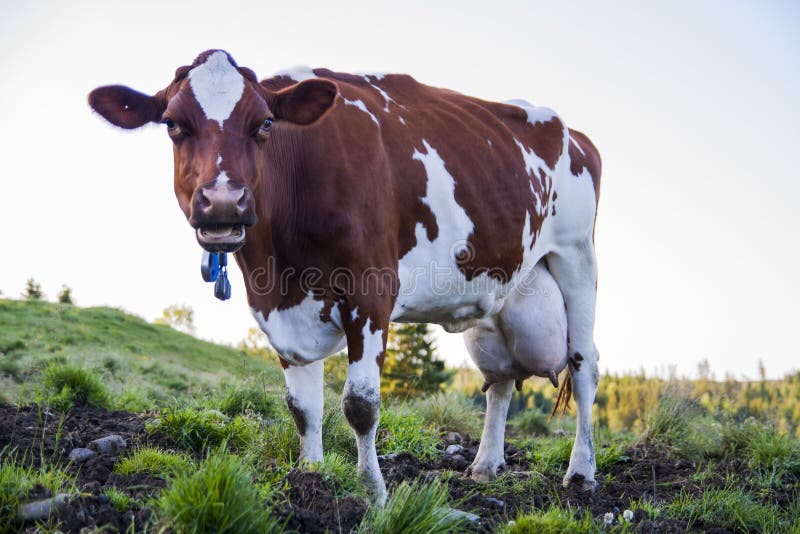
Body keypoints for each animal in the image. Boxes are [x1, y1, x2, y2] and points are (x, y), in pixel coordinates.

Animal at [88, 50, 601, 503]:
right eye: (173, 124)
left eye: (265, 124)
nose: (223, 203)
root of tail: (575, 133)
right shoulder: (278, 306)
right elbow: (302, 407)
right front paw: (310, 476)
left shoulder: (371, 291)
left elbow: (360, 405)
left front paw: (374, 493)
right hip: (501, 288)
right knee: (501, 378)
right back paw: (485, 465)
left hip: (578, 258)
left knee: (584, 365)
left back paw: (580, 472)